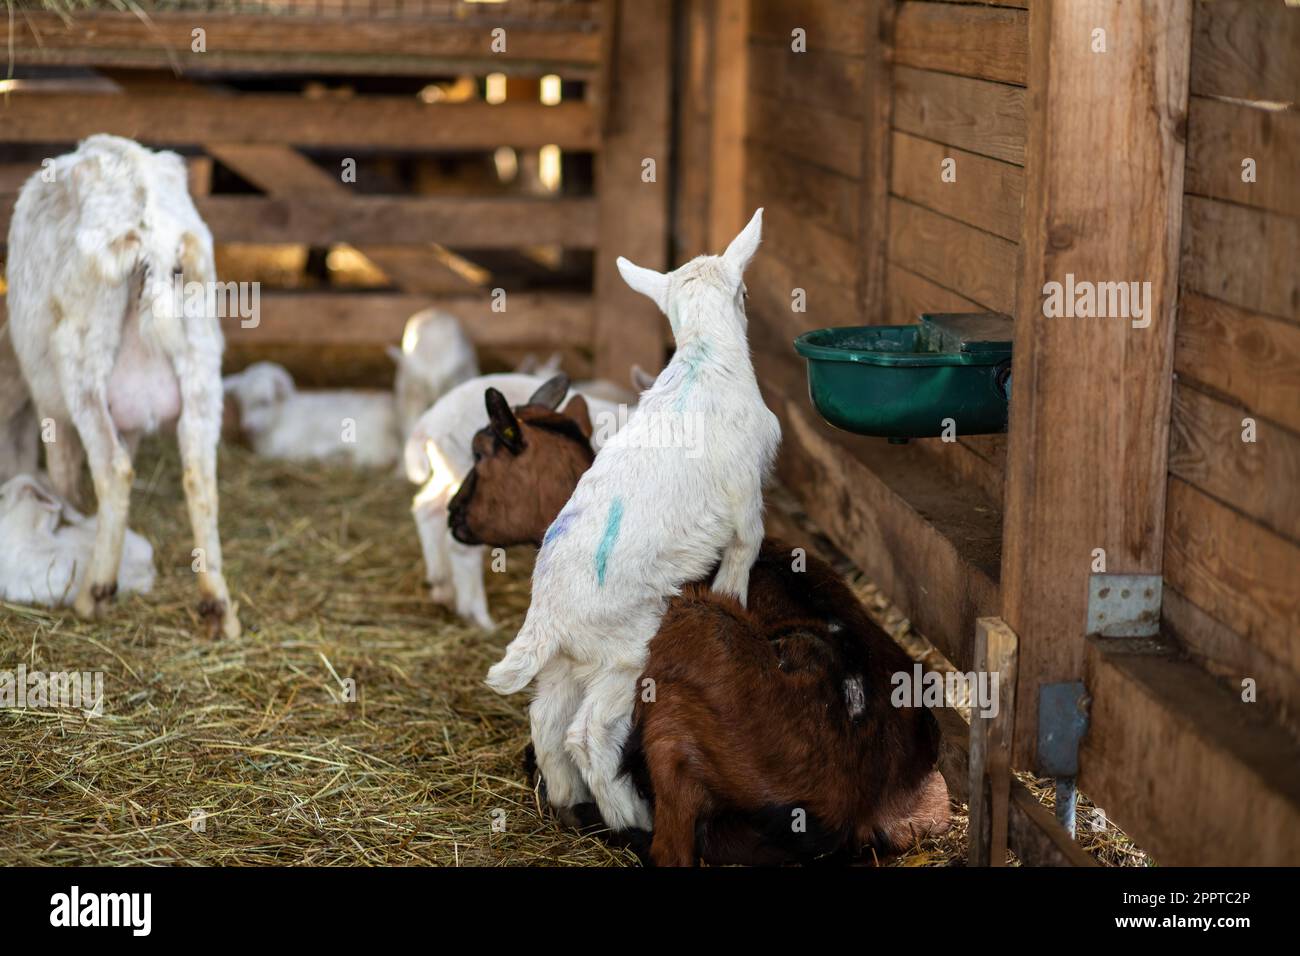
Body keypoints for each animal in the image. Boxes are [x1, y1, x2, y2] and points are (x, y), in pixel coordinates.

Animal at [483, 210, 781, 832]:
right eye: (743, 293)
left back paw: (568, 802)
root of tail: (547, 616)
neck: (703, 359)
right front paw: (734, 601)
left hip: (569, 659)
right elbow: (745, 549)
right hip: (628, 650)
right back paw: (631, 818)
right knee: (587, 733)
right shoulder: (747, 496)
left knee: (546, 720)